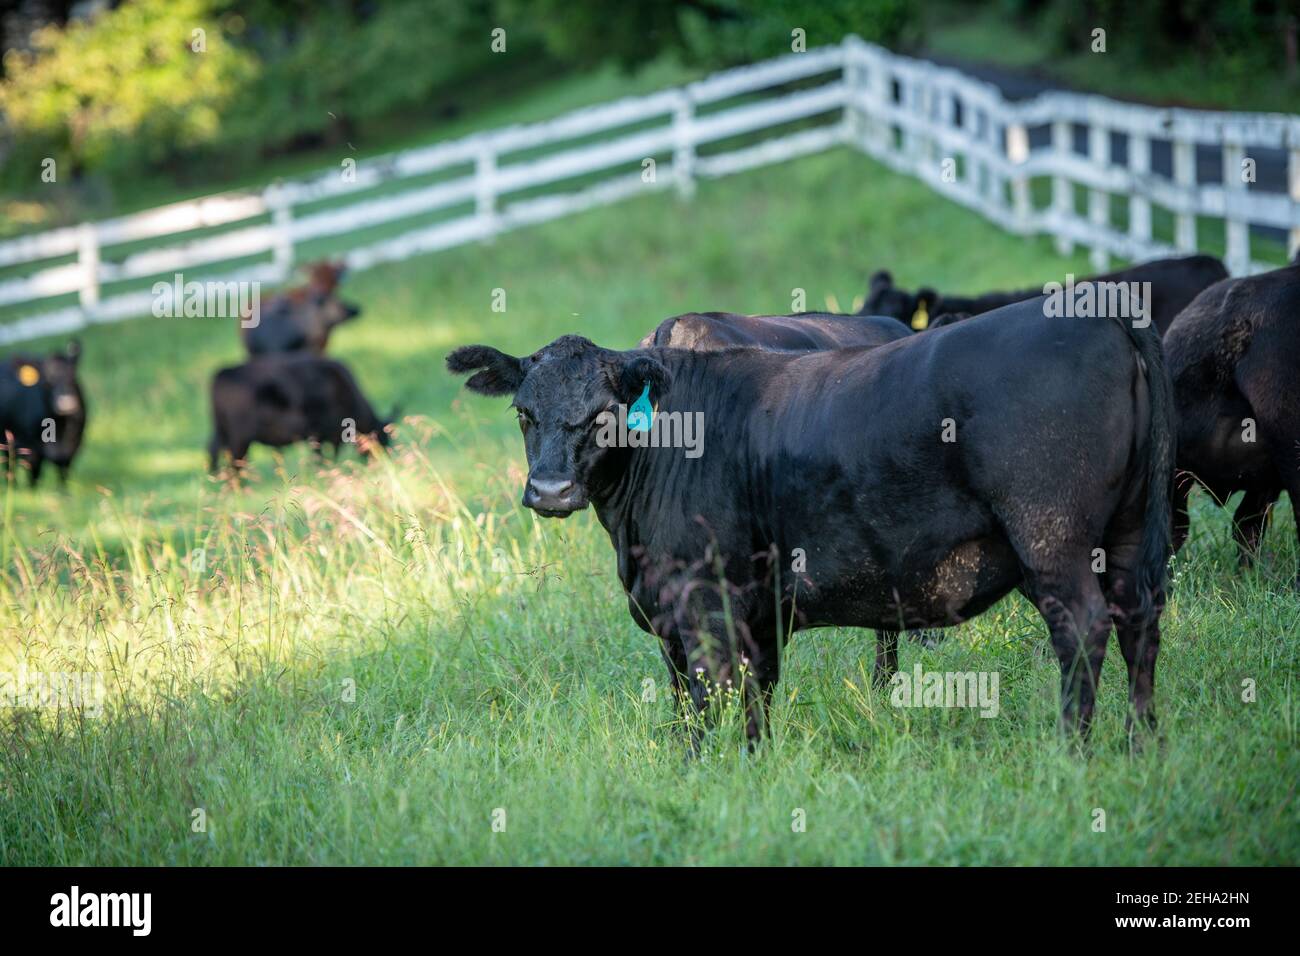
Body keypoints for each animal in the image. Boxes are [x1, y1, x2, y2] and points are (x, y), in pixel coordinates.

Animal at [0, 340, 87, 486]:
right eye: (47, 381)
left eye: (73, 375)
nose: (66, 401)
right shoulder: (32, 451)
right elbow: (34, 481)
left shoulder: (72, 448)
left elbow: (63, 479)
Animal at [209, 353, 393, 471]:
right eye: (382, 440)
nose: (383, 463)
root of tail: (224, 372)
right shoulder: (328, 434)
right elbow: (326, 455)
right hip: (239, 438)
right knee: (235, 461)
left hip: (220, 430)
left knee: (213, 450)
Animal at [447, 304, 1174, 747]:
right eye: (523, 412)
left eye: (603, 413)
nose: (550, 490)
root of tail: (1107, 317)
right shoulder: (753, 608)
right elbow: (751, 695)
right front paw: (752, 764)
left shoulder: (701, 598)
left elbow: (703, 695)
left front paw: (697, 770)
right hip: (1127, 536)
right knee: (1139, 621)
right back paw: (1141, 746)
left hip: (1053, 538)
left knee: (1082, 628)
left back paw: (1073, 752)